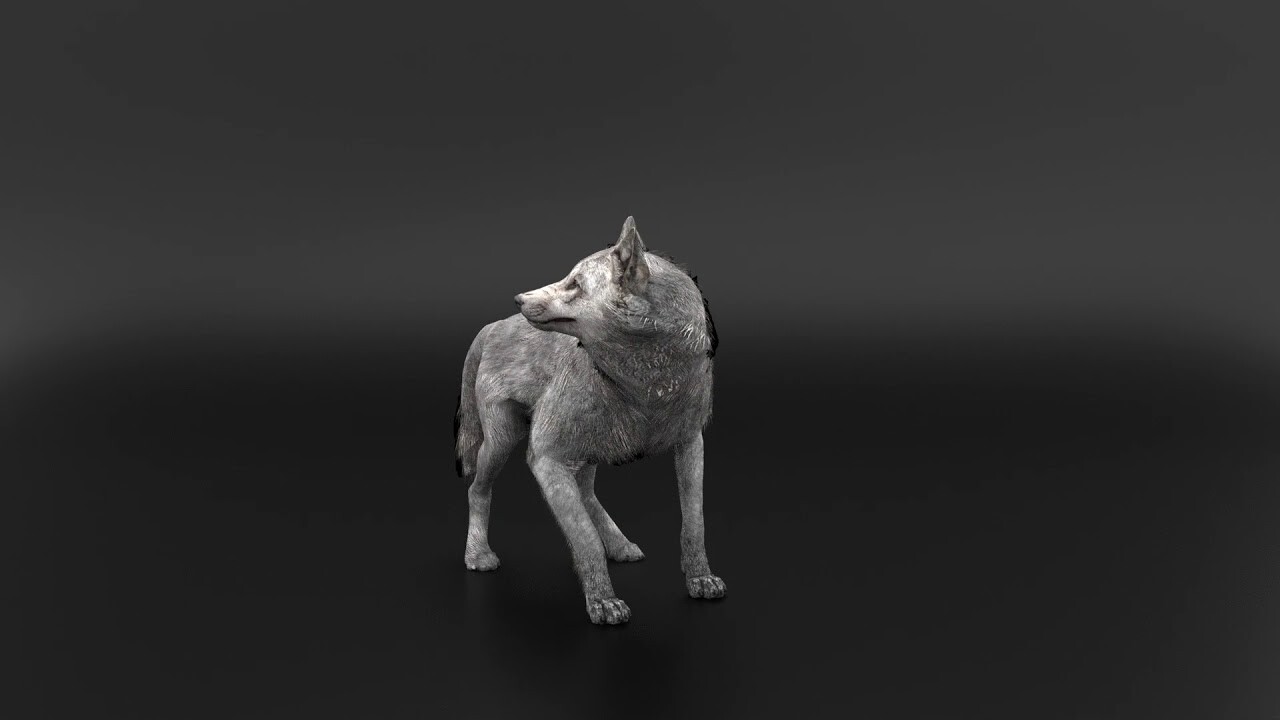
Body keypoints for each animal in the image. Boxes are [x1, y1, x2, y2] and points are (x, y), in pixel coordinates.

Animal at [453, 216, 726, 624]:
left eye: (575, 284)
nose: (518, 299)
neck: (647, 389)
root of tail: (491, 327)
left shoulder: (691, 443)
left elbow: (694, 525)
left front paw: (700, 579)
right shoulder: (546, 457)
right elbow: (584, 538)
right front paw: (602, 601)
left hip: (587, 449)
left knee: (585, 492)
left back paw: (620, 544)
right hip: (502, 442)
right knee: (477, 489)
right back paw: (478, 556)